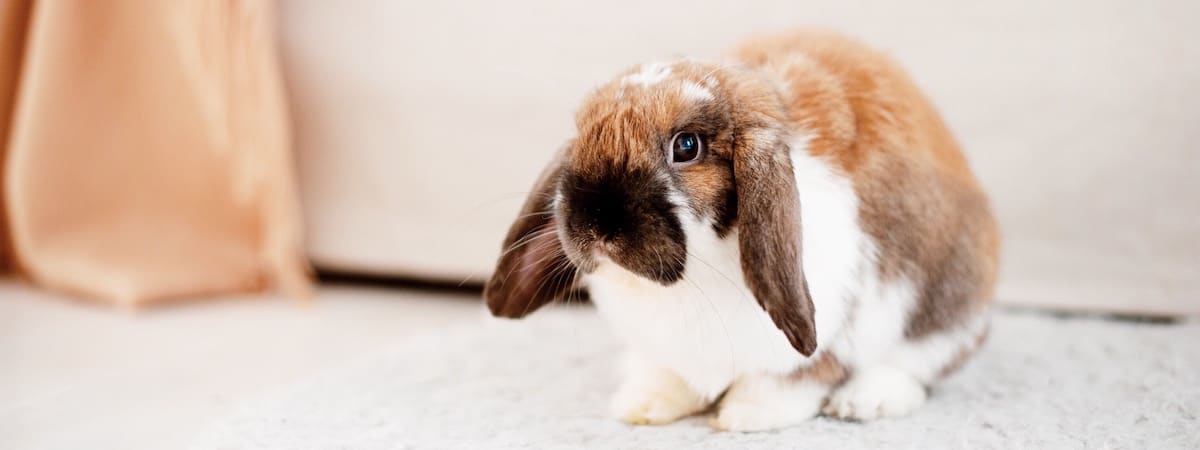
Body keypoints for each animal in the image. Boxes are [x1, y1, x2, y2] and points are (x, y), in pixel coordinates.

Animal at [484, 30, 999, 431]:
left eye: (686, 146)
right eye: (583, 136)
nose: (595, 223)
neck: (695, 276)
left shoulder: (830, 323)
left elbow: (798, 374)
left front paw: (748, 415)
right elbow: (668, 374)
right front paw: (644, 405)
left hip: (944, 313)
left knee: (917, 365)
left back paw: (863, 402)